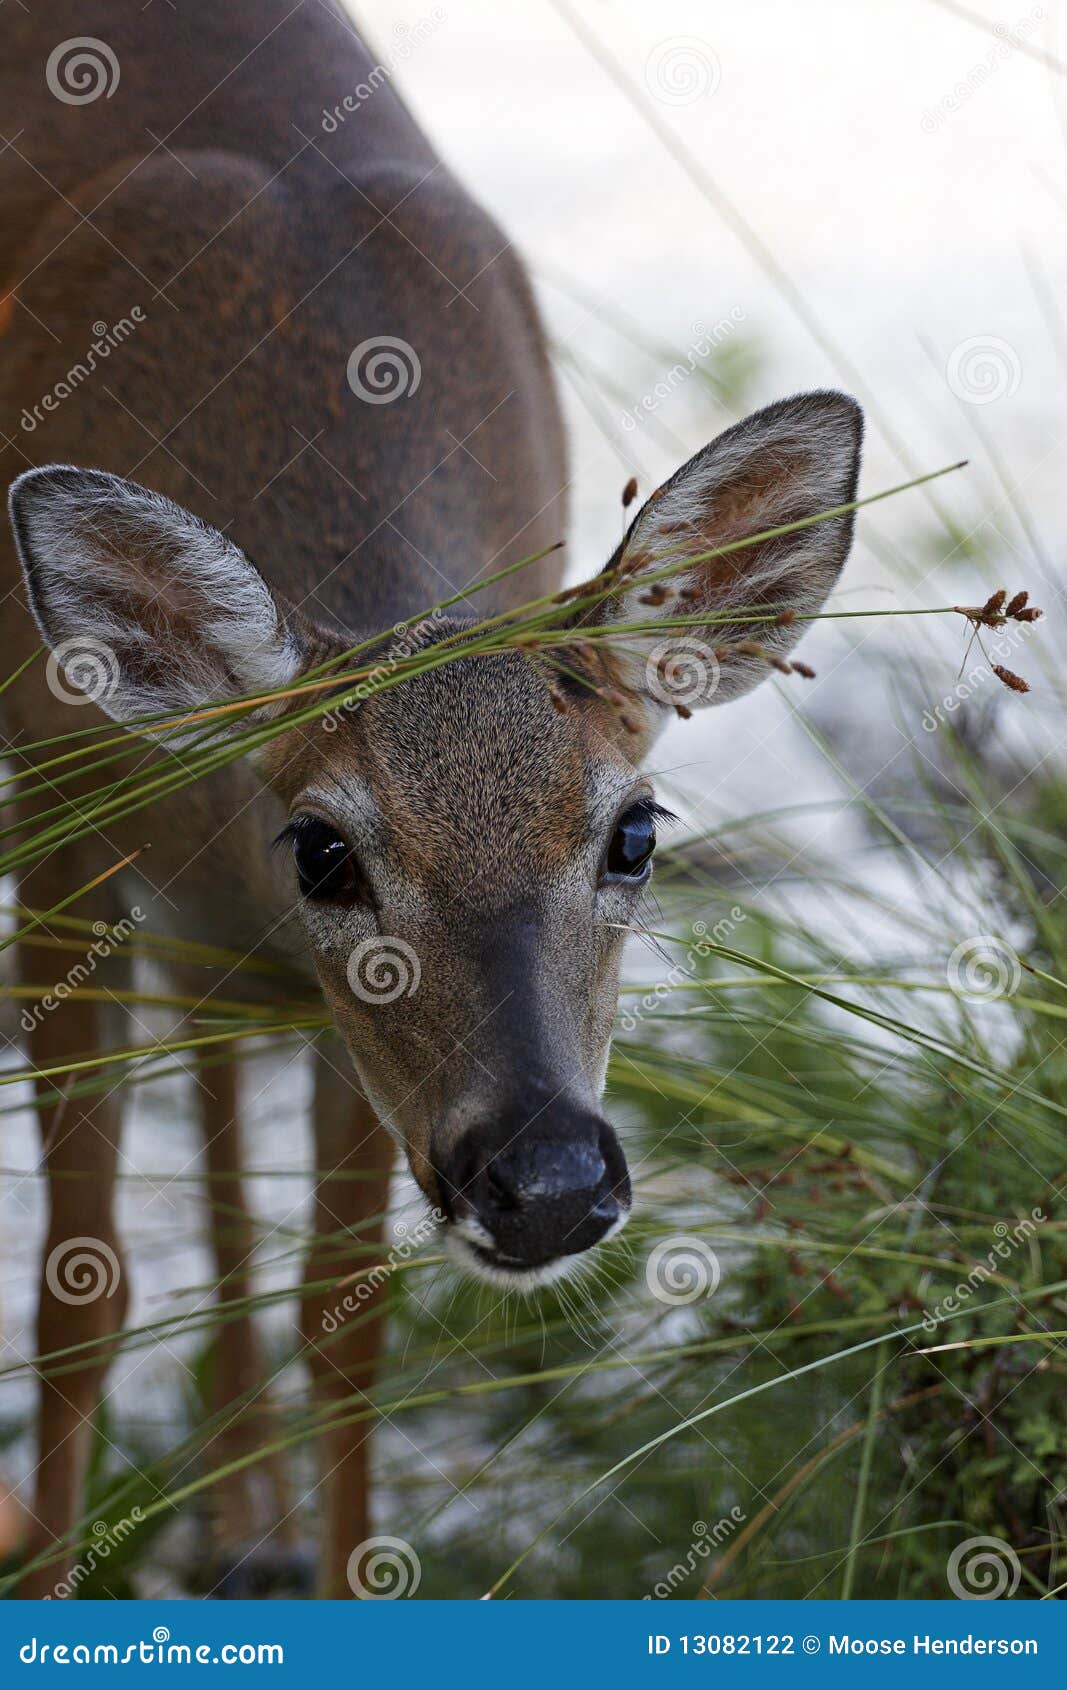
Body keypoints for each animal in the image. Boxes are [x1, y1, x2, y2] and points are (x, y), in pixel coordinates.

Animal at [0, 1, 862, 1598]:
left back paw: (249, 1523)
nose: (545, 1178)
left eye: (633, 830)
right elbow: (76, 1295)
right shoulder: (58, 816)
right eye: (324, 849)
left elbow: (342, 1308)